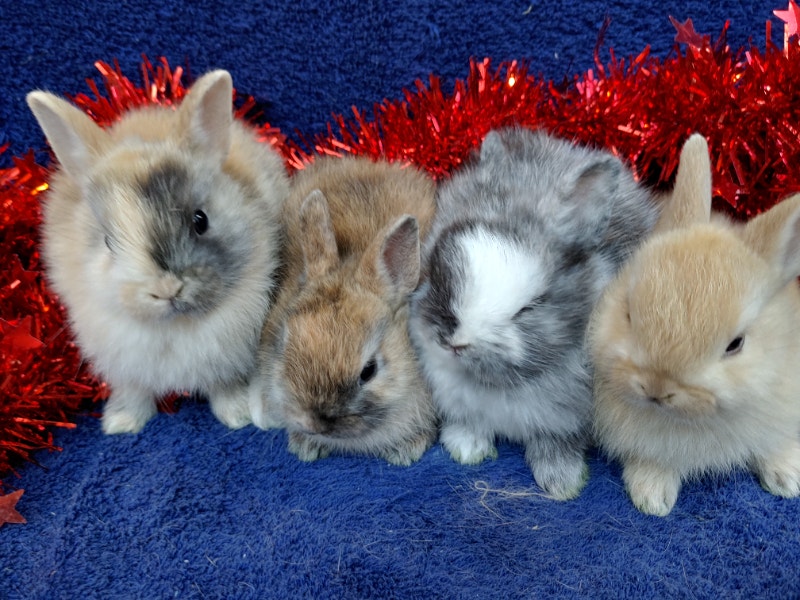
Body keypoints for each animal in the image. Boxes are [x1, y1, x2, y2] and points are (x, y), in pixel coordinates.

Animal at [27, 69, 290, 434]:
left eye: (200, 220)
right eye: (108, 241)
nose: (166, 290)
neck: (172, 326)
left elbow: (223, 385)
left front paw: (238, 416)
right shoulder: (124, 366)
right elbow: (134, 391)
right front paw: (121, 423)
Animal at [408, 127, 660, 499]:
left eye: (531, 306)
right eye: (435, 267)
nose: (456, 342)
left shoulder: (567, 419)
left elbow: (555, 443)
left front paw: (562, 483)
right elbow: (469, 424)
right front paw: (466, 449)